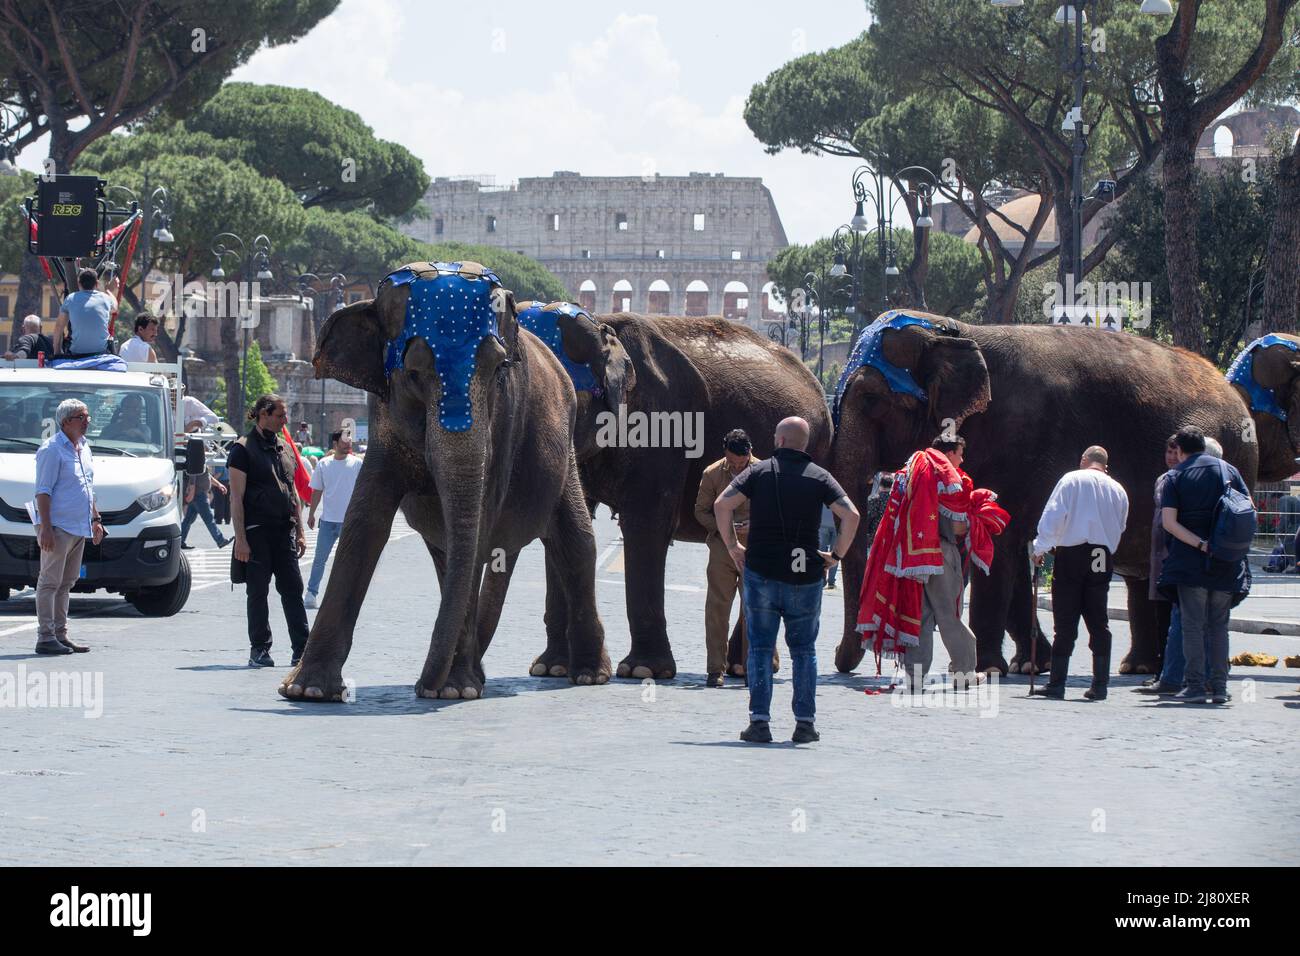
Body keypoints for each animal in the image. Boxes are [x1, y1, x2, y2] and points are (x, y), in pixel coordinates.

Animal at [278, 262, 610, 702]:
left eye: (499, 369)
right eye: (413, 372)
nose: (422, 686)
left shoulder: (503, 421)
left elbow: (480, 524)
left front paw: (454, 689)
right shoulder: (382, 414)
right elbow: (365, 521)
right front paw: (306, 690)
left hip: (565, 443)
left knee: (573, 539)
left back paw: (587, 675)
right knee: (448, 551)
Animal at [505, 303, 833, 680]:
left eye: (564, 399)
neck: (602, 327)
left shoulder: (664, 421)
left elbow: (645, 525)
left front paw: (641, 671)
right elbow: (564, 525)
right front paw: (550, 668)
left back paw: (742, 667)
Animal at [829, 311, 1258, 678]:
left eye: (870, 399)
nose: (840, 658)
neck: (957, 330)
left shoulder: (1020, 436)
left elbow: (999, 543)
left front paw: (987, 669)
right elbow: (1007, 546)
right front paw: (1030, 665)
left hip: (1232, 457)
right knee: (1143, 569)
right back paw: (1138, 667)